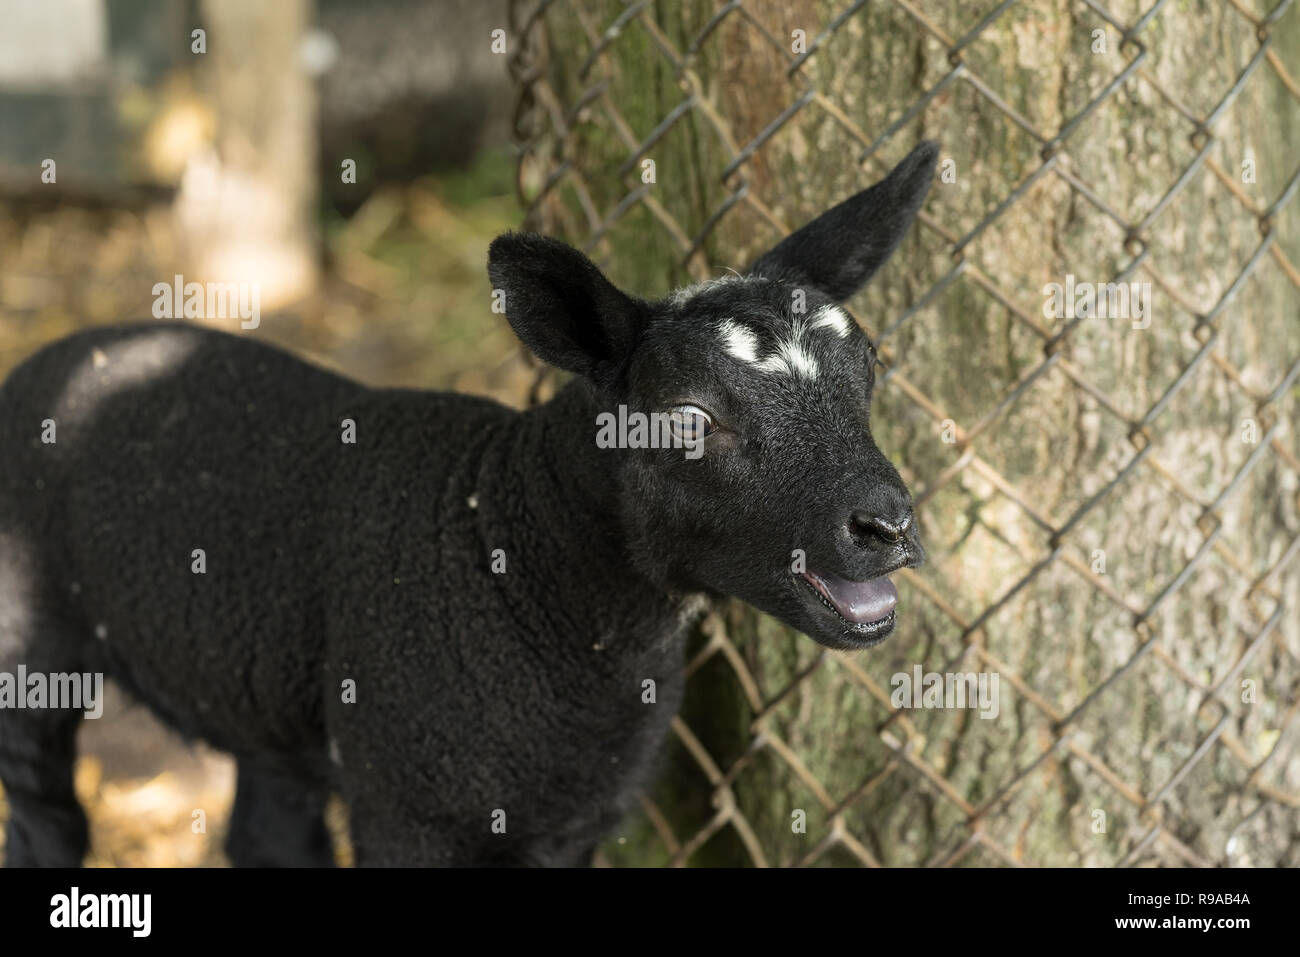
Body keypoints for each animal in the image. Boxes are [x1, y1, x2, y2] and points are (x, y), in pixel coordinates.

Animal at [0, 141, 937, 867]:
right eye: (689, 417)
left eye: (869, 370)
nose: (887, 524)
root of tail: (58, 353)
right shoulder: (411, 807)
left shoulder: (571, 822)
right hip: (27, 650)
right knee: (47, 820)